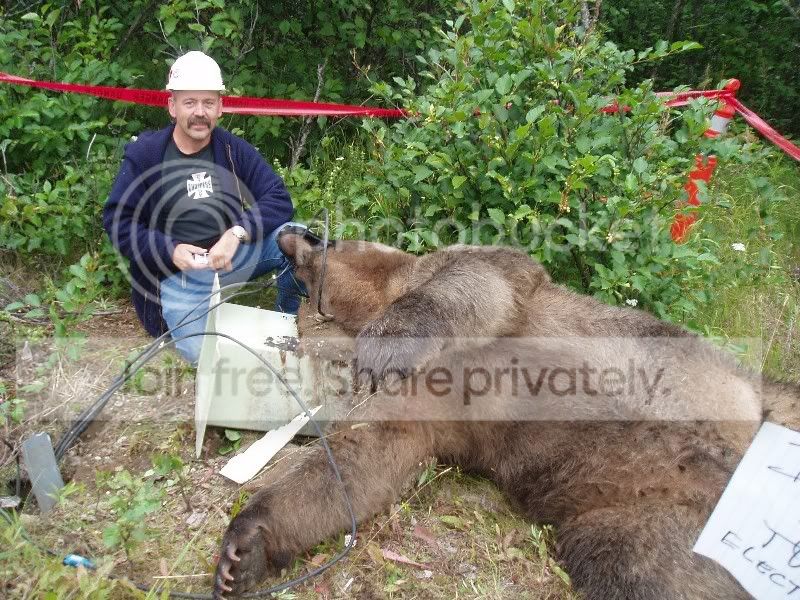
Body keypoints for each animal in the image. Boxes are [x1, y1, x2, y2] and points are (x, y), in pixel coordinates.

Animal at [212, 233, 800, 599]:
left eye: (328, 245)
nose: (289, 239)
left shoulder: (490, 281)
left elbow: (475, 277)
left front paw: (384, 345)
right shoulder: (414, 412)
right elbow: (358, 463)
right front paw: (241, 553)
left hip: (751, 394)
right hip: (643, 519)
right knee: (651, 569)